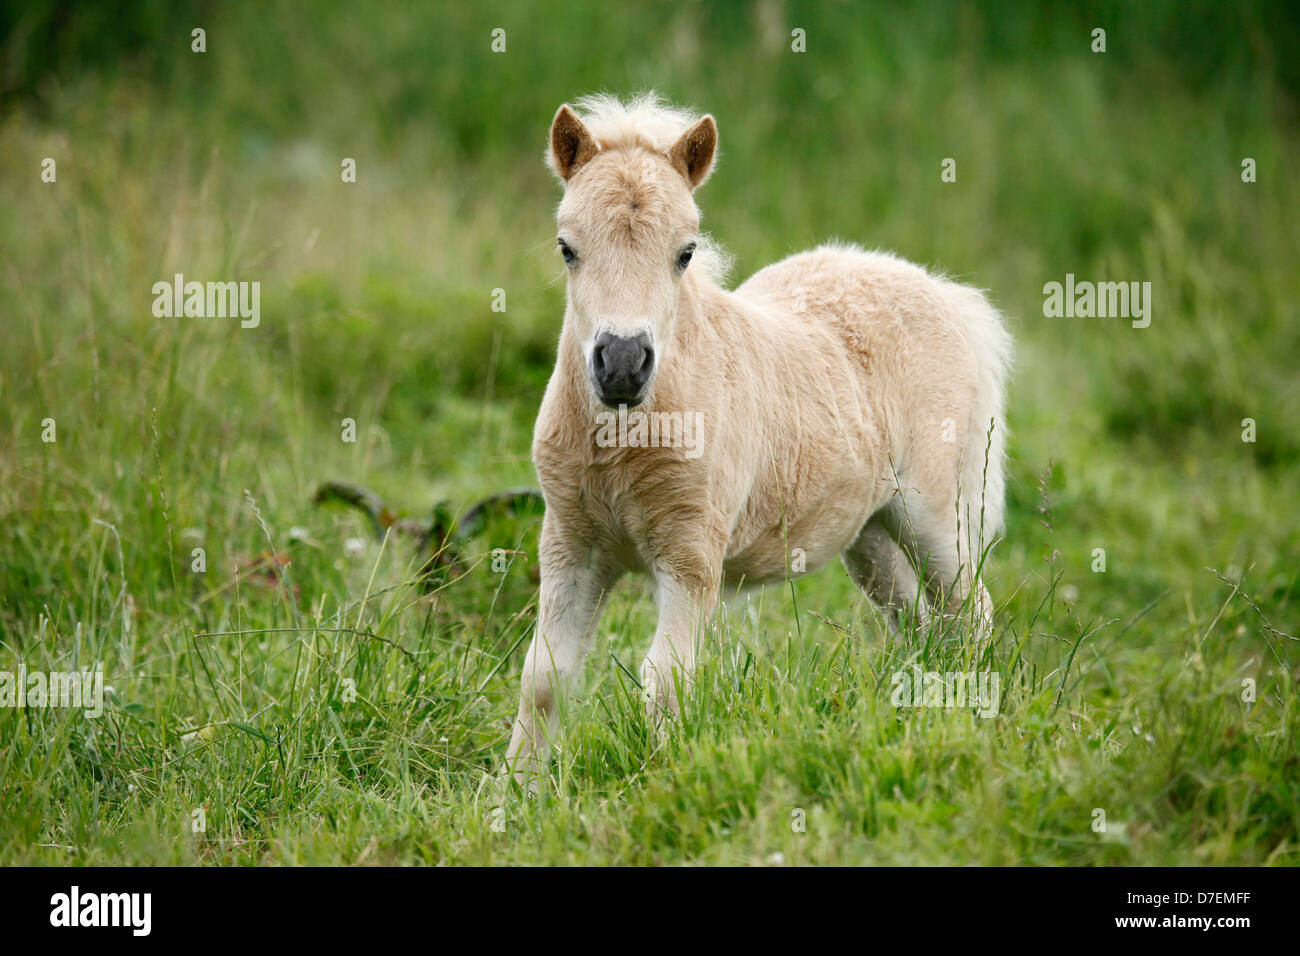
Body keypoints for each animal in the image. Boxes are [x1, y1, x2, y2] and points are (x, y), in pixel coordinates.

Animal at [505, 93, 1013, 783]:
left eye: (685, 252)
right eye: (566, 248)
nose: (622, 366)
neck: (625, 442)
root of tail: (945, 295)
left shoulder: (692, 552)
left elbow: (665, 681)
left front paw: (661, 786)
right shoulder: (570, 544)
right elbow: (545, 677)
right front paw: (512, 793)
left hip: (933, 513)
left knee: (971, 613)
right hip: (870, 532)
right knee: (918, 621)